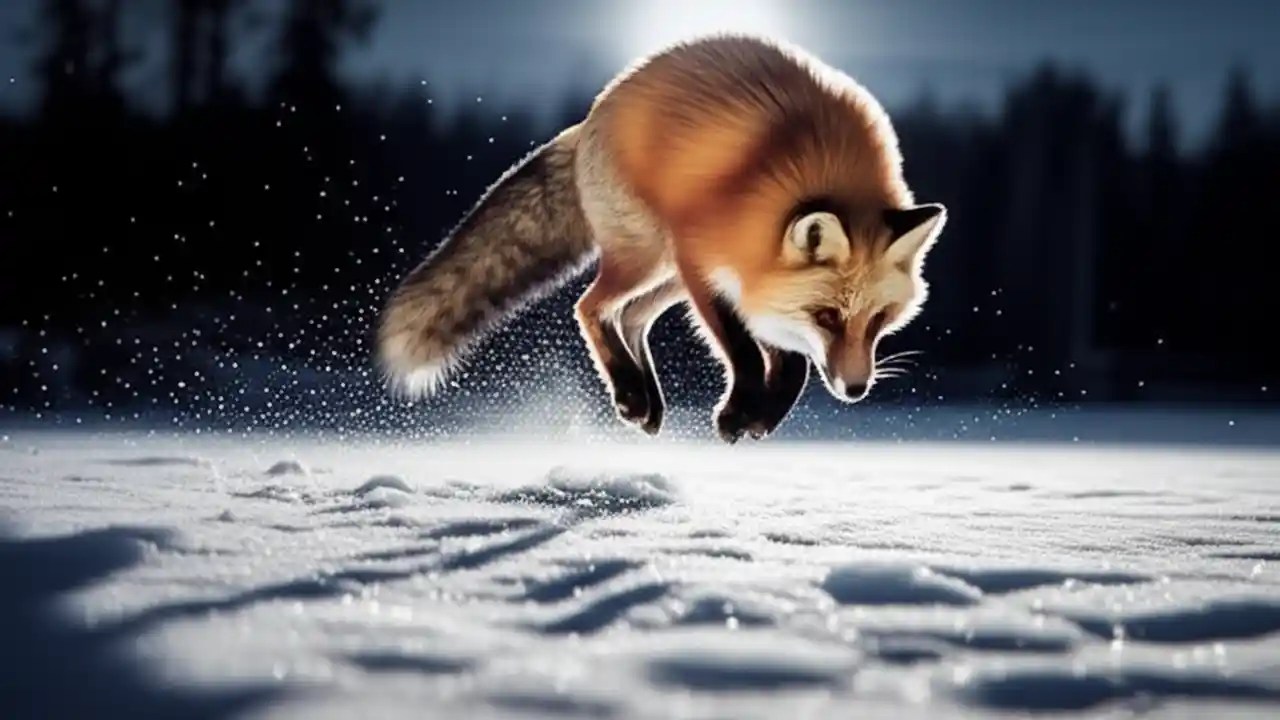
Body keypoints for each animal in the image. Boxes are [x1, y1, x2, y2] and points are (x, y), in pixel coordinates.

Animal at [376, 33, 947, 442]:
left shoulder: (756, 284)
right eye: (827, 317)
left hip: (668, 275)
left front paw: (759, 417)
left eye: (879, 320)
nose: (855, 389)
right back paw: (631, 394)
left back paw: (647, 402)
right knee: (591, 307)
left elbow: (792, 364)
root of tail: (592, 116)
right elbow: (746, 352)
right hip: (653, 257)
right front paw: (738, 413)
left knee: (630, 316)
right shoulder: (710, 264)